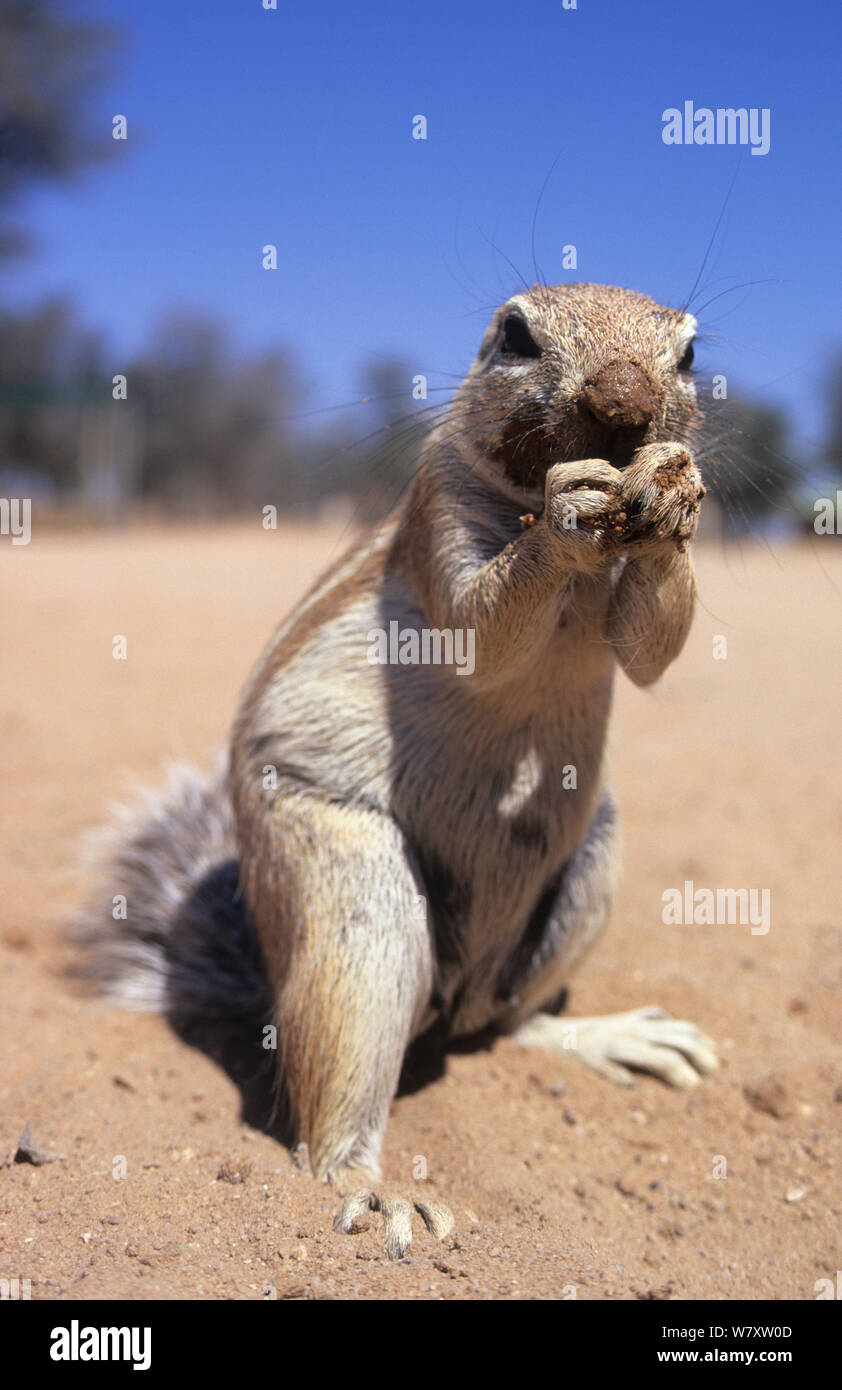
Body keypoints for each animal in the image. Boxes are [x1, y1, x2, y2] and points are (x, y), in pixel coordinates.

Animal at [75, 282, 718, 1260]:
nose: (623, 401)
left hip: (590, 866)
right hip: (350, 897)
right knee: (329, 1122)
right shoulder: (439, 509)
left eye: (688, 355)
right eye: (515, 336)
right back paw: (373, 1189)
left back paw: (602, 1038)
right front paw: (569, 513)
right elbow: (481, 624)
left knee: (507, 1027)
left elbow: (656, 646)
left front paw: (673, 489)